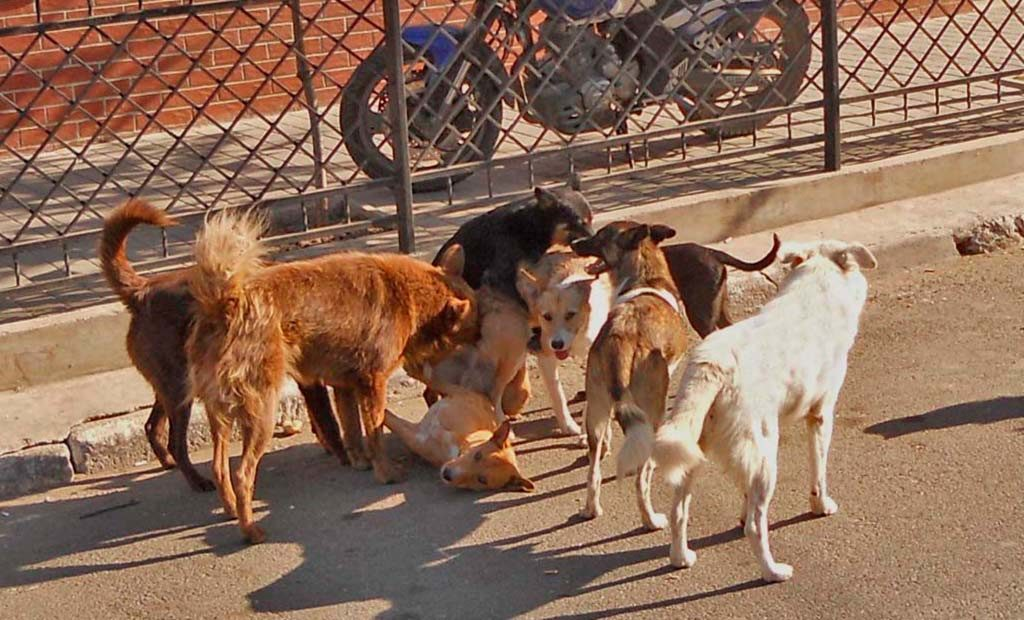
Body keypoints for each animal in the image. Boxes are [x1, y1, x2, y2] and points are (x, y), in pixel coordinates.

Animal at [99, 200, 348, 489]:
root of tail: (142, 291)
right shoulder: (311, 380)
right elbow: (328, 421)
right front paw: (343, 453)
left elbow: (320, 419)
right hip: (180, 391)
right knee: (176, 443)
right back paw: (197, 482)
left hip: (172, 387)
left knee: (152, 426)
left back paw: (169, 464)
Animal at [187, 209, 479, 541]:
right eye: (476, 326)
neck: (408, 296)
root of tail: (224, 304)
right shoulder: (372, 384)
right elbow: (374, 432)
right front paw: (386, 473)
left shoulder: (344, 386)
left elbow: (351, 429)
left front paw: (359, 461)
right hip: (262, 410)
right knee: (241, 473)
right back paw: (250, 530)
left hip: (220, 415)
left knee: (218, 466)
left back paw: (231, 509)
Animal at [516, 246, 610, 434]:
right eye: (547, 316)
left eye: (570, 315)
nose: (557, 344)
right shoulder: (546, 358)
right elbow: (557, 395)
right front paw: (569, 426)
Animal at [573, 220, 692, 528]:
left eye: (599, 236)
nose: (574, 242)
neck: (645, 277)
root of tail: (621, 338)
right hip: (651, 415)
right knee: (642, 479)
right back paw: (651, 520)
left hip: (598, 410)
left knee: (593, 472)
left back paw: (591, 509)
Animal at [647, 236, 880, 582]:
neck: (816, 286)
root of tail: (713, 366)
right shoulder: (821, 415)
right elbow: (819, 471)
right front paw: (821, 505)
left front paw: (740, 514)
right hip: (766, 457)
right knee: (757, 528)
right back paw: (773, 571)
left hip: (694, 451)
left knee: (679, 511)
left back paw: (681, 557)